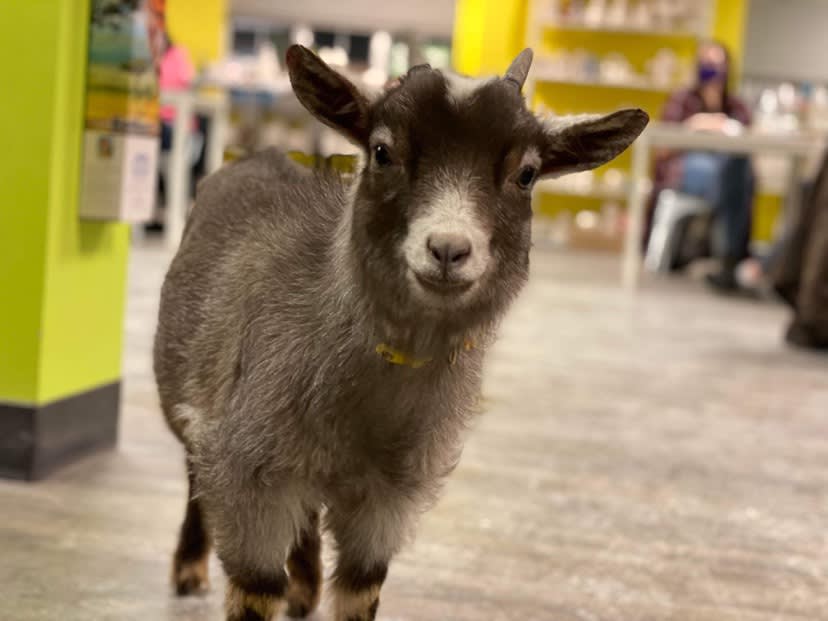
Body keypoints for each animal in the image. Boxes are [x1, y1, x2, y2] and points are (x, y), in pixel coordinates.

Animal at [153, 45, 648, 621]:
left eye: (527, 174)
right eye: (382, 151)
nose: (448, 250)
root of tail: (261, 153)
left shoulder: (386, 500)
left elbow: (360, 591)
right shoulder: (252, 477)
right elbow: (254, 589)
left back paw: (304, 588)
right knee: (197, 476)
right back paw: (190, 569)